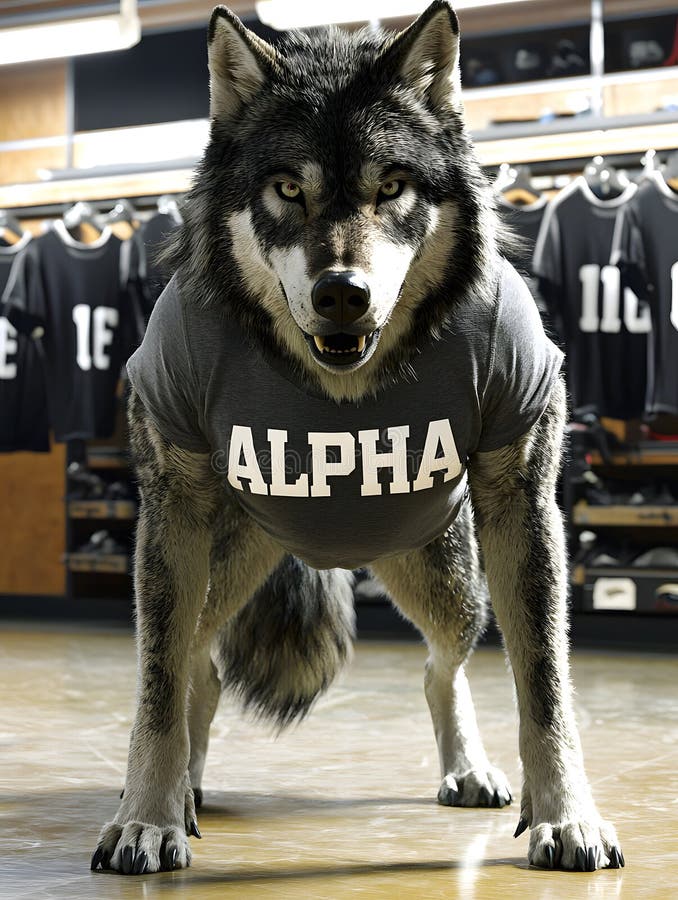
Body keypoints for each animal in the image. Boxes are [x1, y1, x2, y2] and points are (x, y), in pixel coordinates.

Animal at [91, 1, 624, 875]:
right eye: (287, 190)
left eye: (392, 187)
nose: (343, 293)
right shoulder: (172, 509)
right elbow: (156, 692)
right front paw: (146, 819)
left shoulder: (523, 499)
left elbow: (546, 689)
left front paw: (568, 816)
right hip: (215, 567)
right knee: (199, 664)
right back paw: (189, 788)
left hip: (449, 583)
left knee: (440, 669)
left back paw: (469, 770)